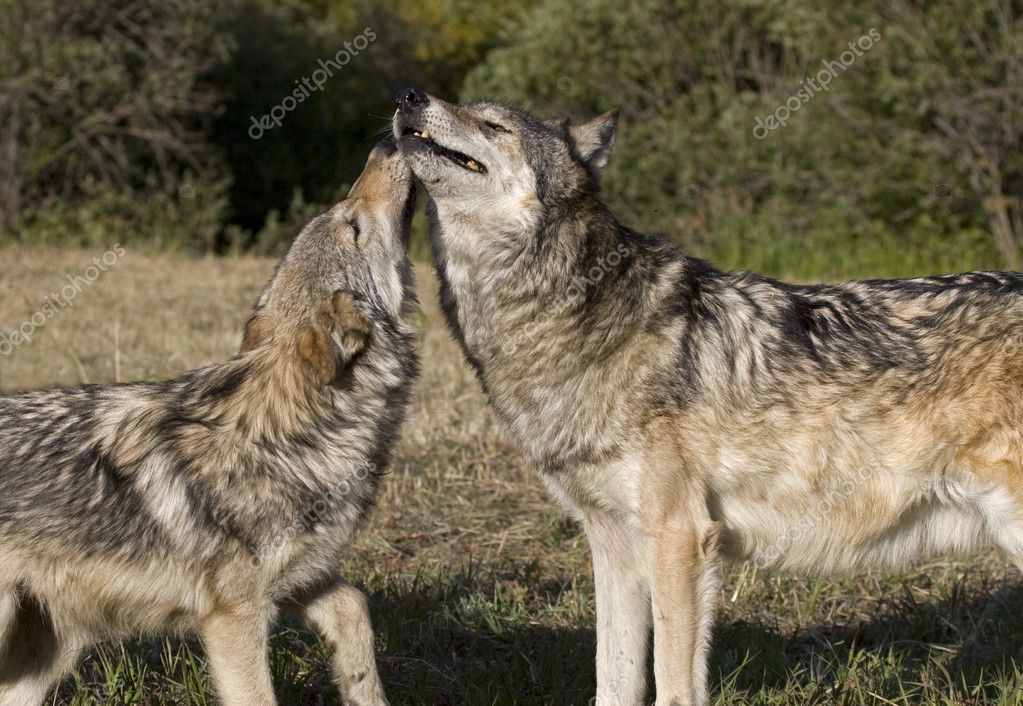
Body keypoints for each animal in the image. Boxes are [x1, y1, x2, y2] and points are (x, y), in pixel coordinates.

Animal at [0, 141, 418, 706]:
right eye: (351, 224)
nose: (387, 144)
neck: (290, 435)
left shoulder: (301, 578)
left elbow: (355, 608)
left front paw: (359, 689)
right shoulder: (234, 616)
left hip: (46, 653)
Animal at [393, 88, 1023, 706]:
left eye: (494, 124)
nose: (408, 97)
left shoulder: (680, 538)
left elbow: (672, 686)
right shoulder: (613, 546)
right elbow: (614, 681)